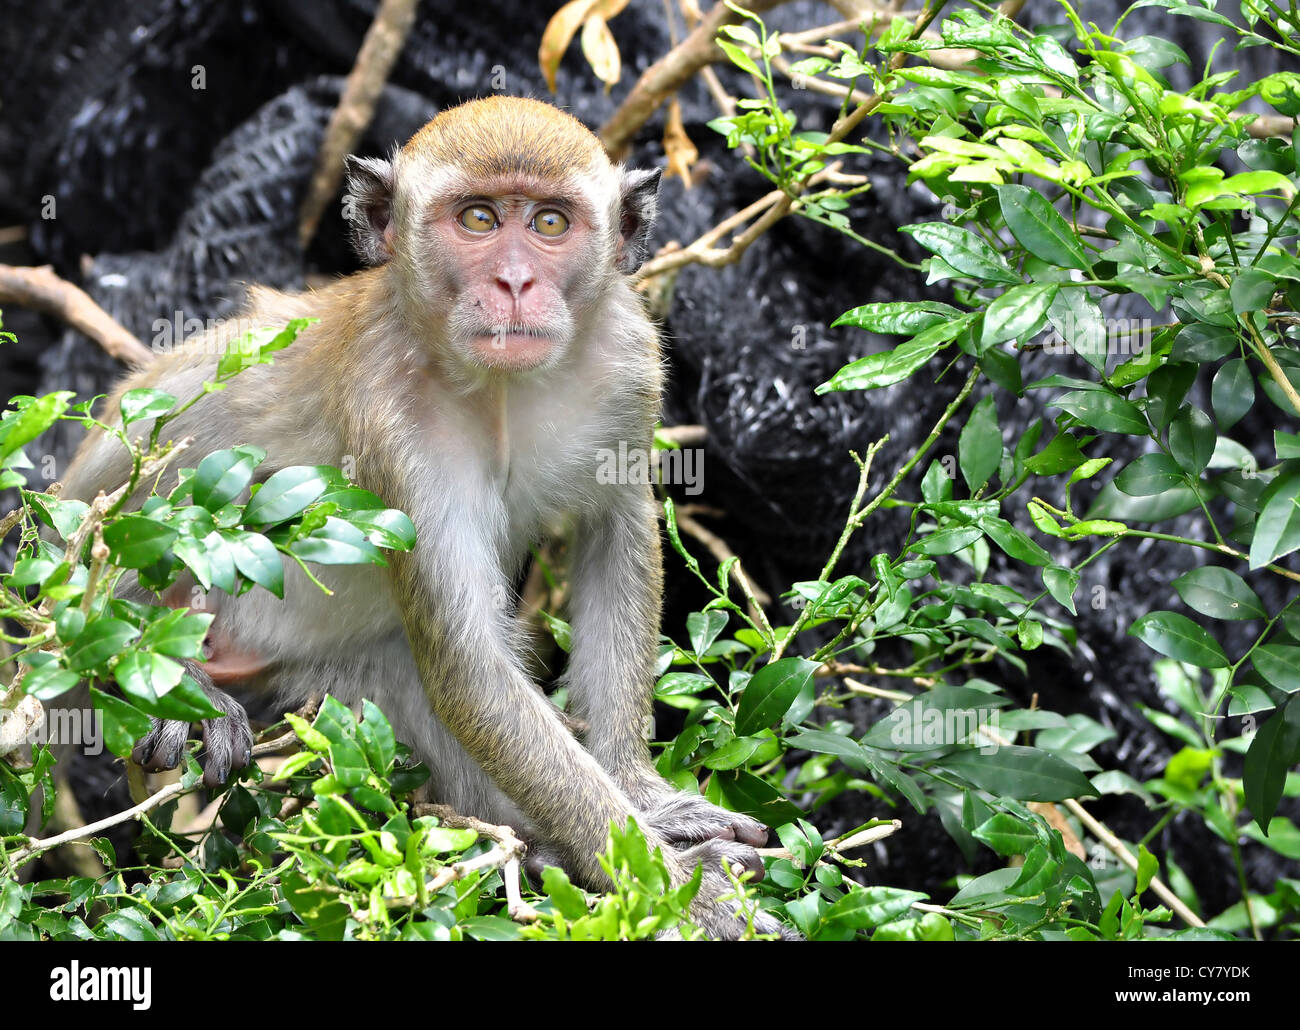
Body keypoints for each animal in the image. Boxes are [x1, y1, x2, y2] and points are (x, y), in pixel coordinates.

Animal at [56, 96, 789, 939]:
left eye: (549, 222)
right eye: (477, 219)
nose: (514, 280)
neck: (499, 388)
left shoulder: (628, 357)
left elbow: (614, 532)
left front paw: (644, 801)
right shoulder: (393, 423)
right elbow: (472, 674)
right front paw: (678, 895)